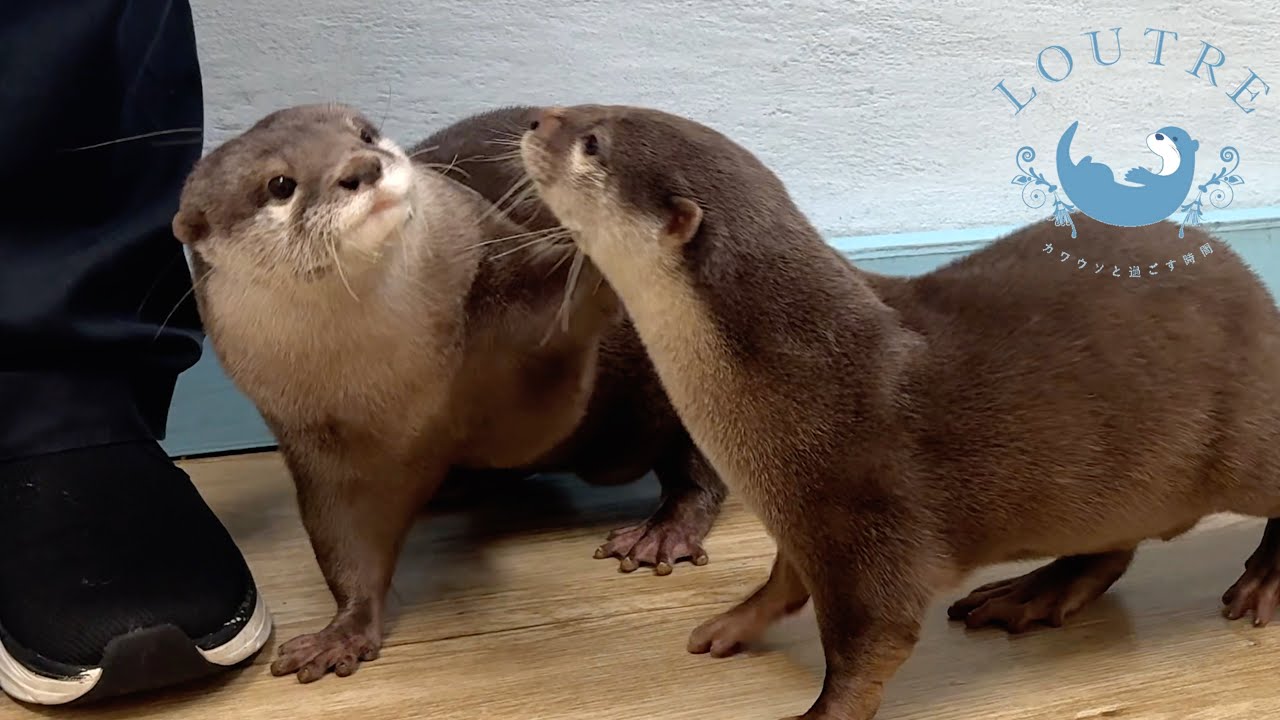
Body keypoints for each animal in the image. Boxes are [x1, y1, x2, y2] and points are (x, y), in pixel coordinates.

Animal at [170, 104, 727, 683]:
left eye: (364, 134)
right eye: (280, 184)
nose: (362, 166)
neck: (403, 376)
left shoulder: (496, 264)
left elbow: (545, 397)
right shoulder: (322, 447)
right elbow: (346, 544)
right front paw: (340, 633)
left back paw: (662, 530)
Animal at [519, 103, 1280, 720]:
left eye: (592, 142)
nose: (532, 118)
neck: (800, 382)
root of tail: (1260, 301)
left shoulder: (870, 518)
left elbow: (872, 643)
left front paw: (822, 713)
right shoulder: (806, 524)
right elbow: (783, 584)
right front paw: (734, 621)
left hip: (1241, 434)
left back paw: (1262, 582)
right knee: (1110, 549)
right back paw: (1033, 592)